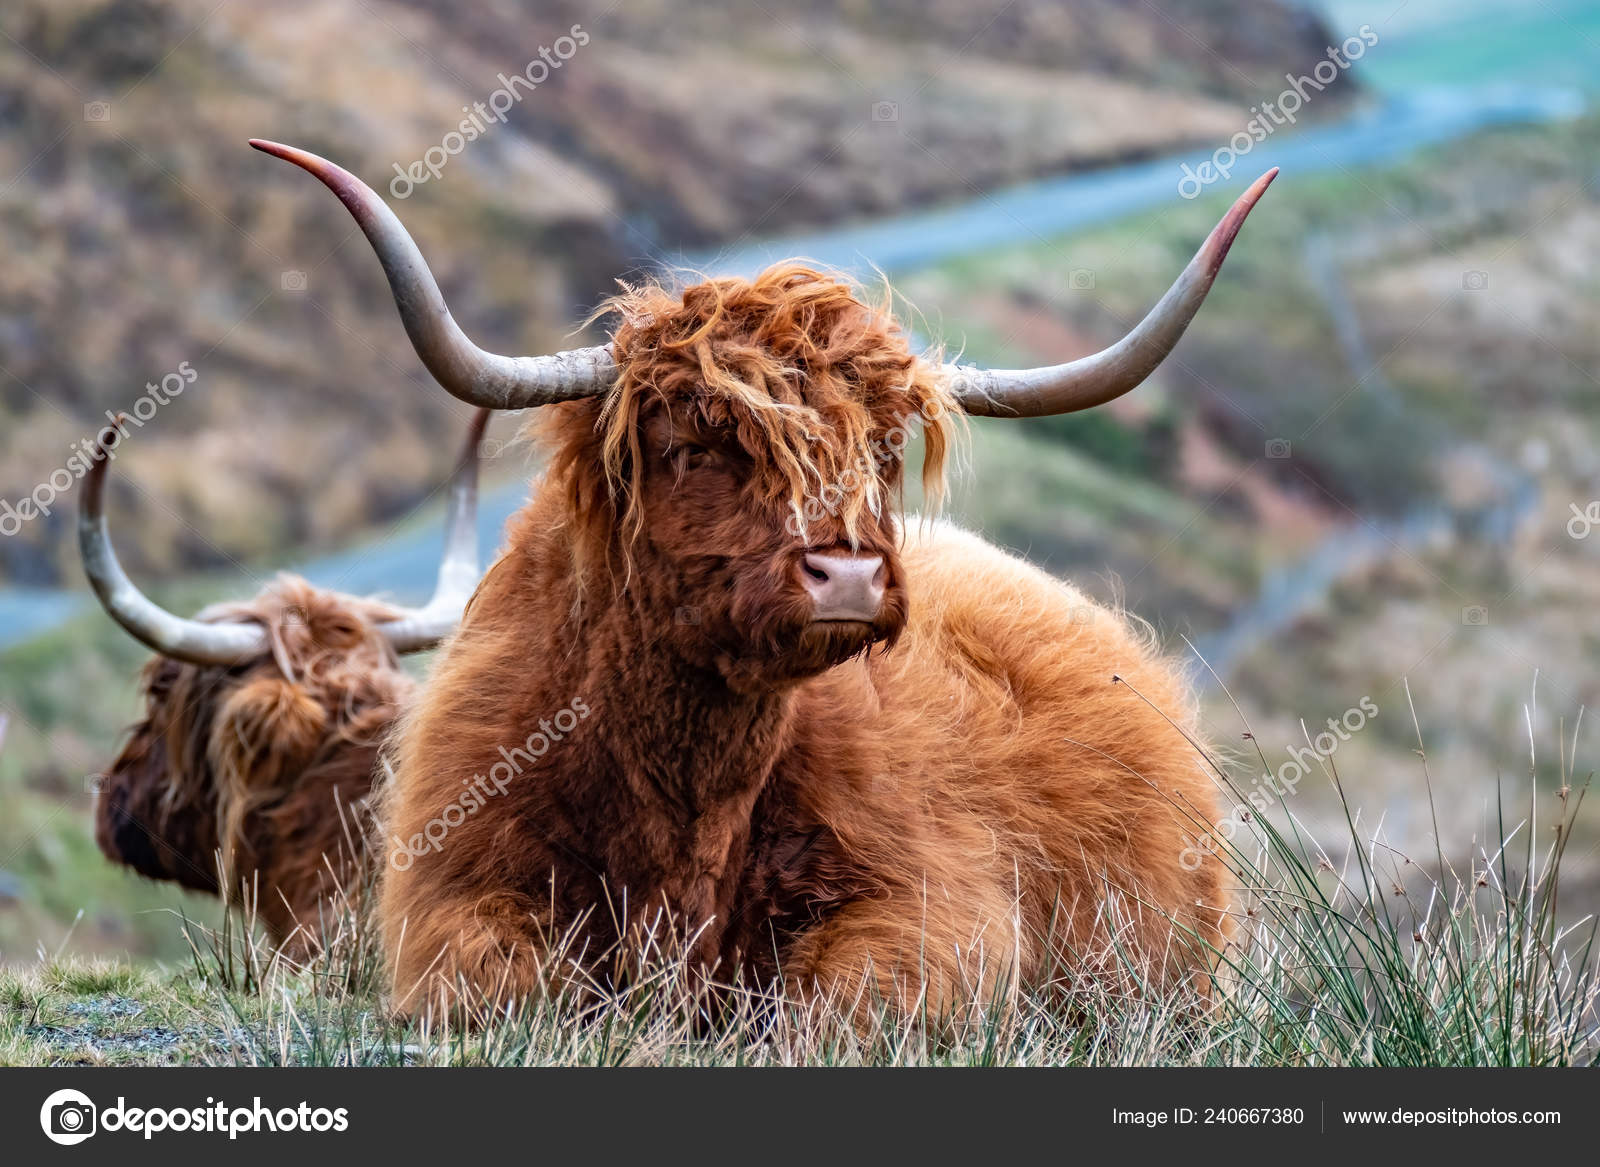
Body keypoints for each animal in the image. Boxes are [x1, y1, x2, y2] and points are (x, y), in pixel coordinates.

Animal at [253, 138, 1274, 1019]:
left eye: (884, 447)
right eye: (691, 443)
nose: (848, 572)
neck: (686, 804)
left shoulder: (944, 908)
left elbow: (839, 1006)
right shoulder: (451, 888)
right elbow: (505, 985)